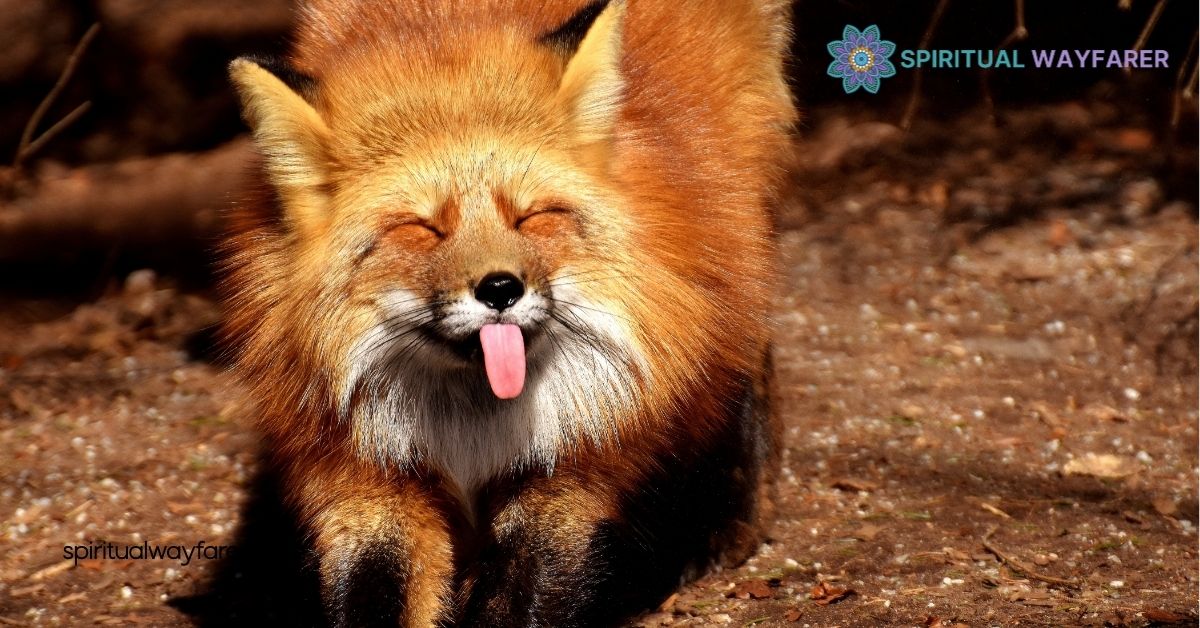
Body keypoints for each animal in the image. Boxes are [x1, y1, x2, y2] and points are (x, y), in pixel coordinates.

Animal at [222, 0, 795, 625]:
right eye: (423, 228)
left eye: (531, 216)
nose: (500, 288)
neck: (472, 430)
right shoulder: (366, 478)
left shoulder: (569, 470)